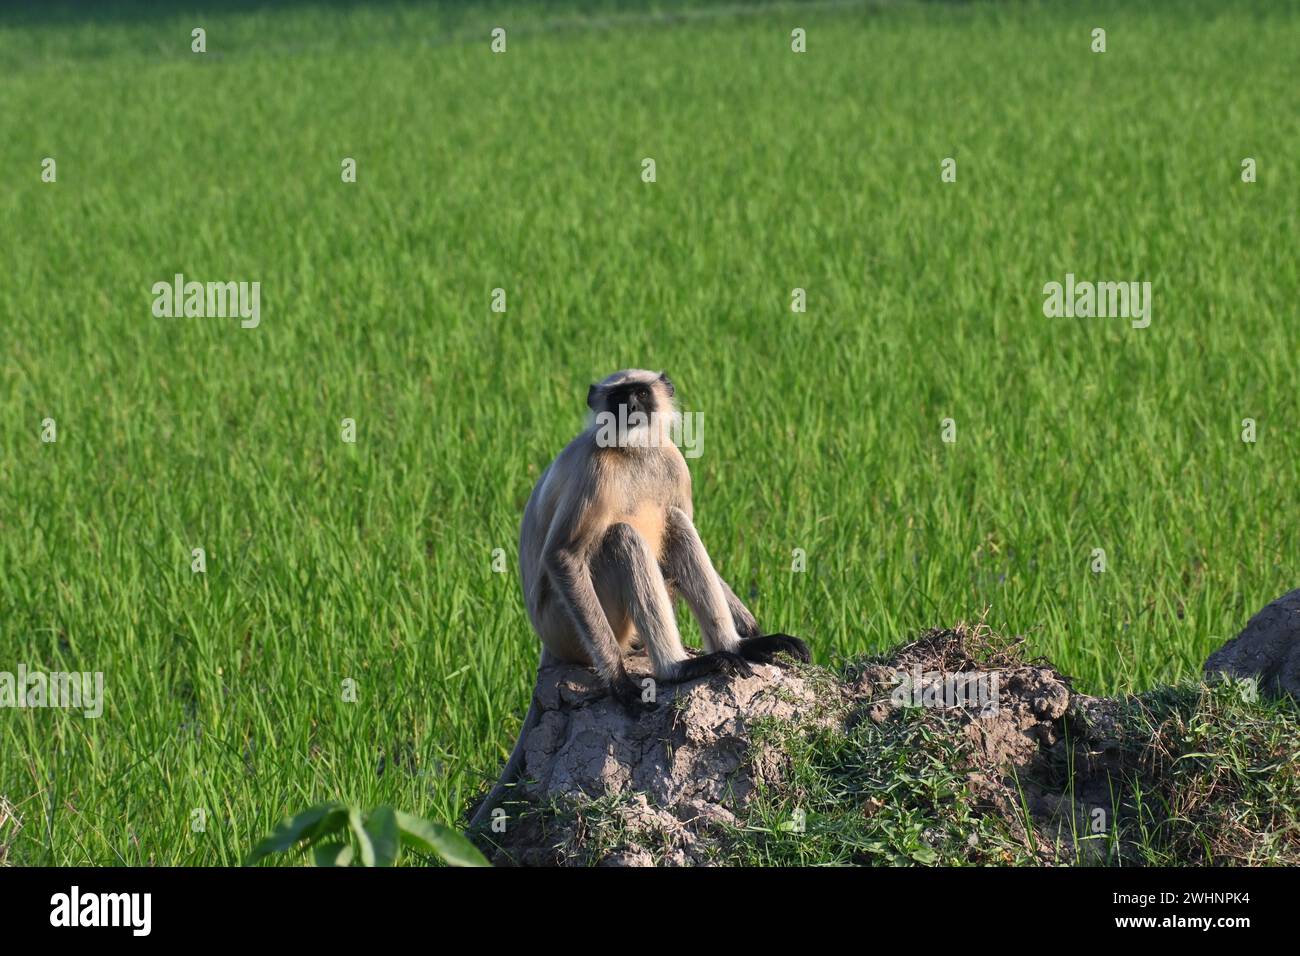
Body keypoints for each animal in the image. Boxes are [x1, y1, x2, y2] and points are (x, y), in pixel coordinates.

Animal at [469, 369, 807, 830]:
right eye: (618, 397)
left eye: (641, 393)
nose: (630, 408)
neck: (633, 454)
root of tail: (546, 642)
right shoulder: (595, 468)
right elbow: (563, 557)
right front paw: (617, 681)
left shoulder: (674, 462)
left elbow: (681, 520)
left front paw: (749, 629)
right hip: (569, 626)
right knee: (621, 537)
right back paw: (676, 668)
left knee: (676, 522)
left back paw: (735, 648)